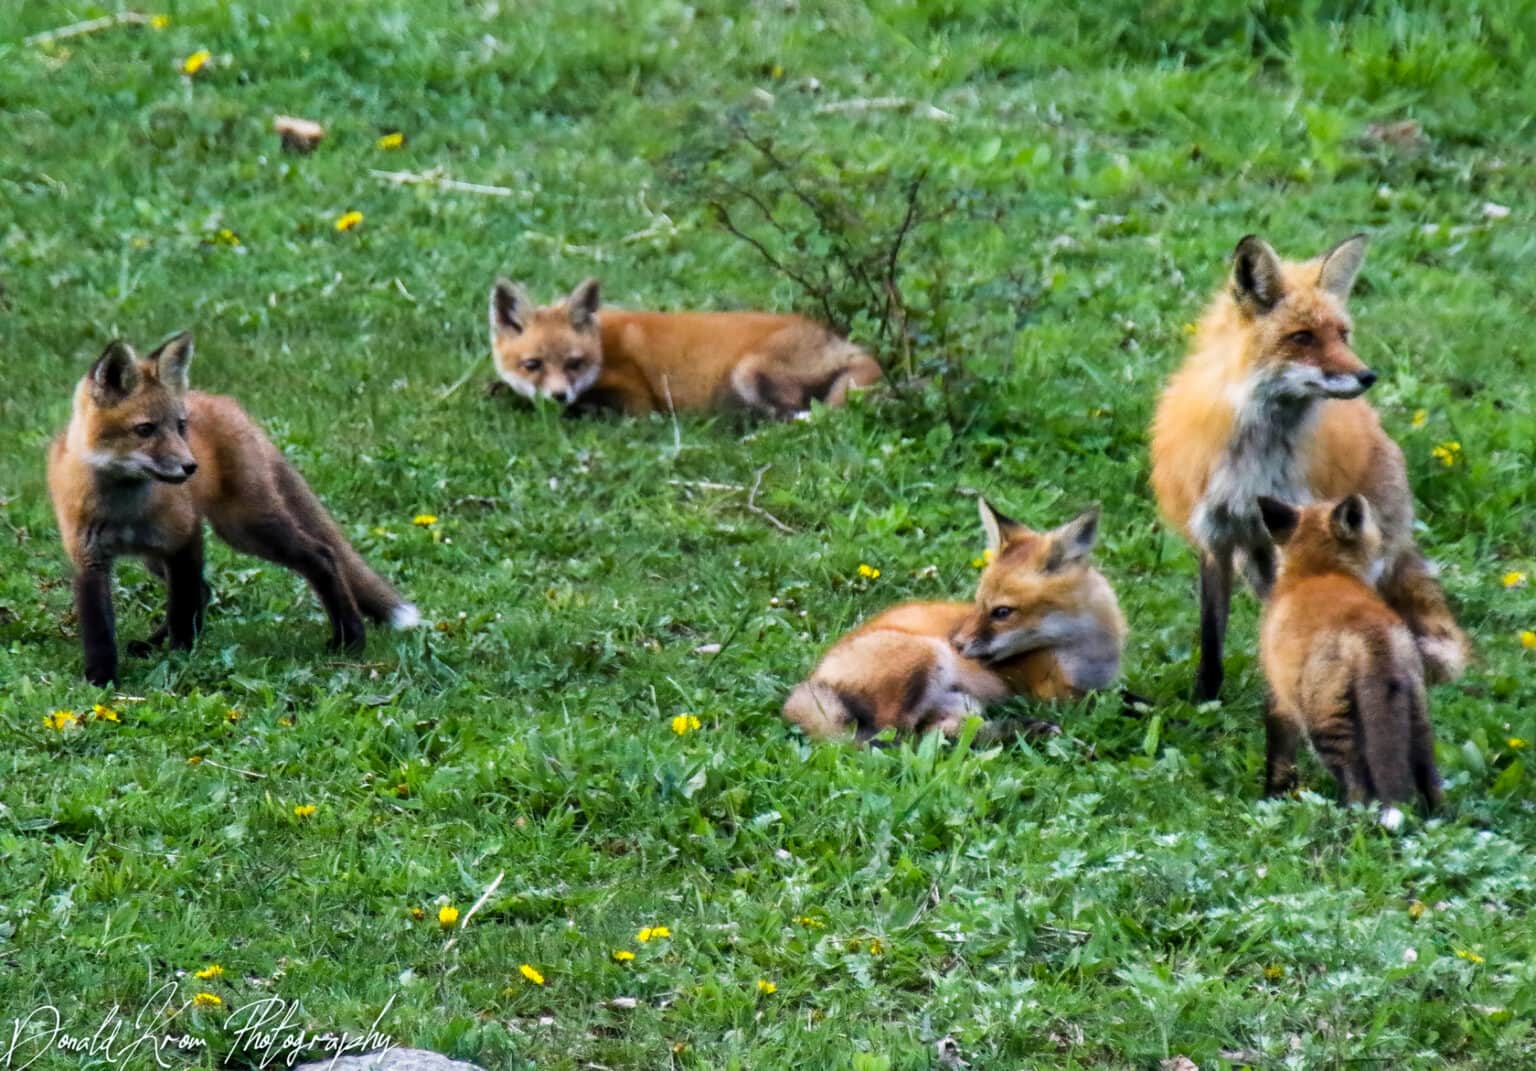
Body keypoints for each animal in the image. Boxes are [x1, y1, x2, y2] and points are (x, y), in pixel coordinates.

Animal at [47, 332, 419, 685]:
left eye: (180, 426)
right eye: (145, 429)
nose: (190, 467)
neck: (123, 507)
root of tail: (228, 404)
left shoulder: (186, 537)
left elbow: (183, 609)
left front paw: (180, 658)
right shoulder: (88, 557)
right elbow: (99, 626)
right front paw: (101, 678)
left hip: (246, 527)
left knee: (323, 556)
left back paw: (350, 639)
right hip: (159, 555)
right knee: (206, 589)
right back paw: (151, 645)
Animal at [488, 278, 882, 418]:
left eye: (574, 364)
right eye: (533, 365)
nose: (559, 396)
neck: (603, 347)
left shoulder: (637, 401)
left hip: (749, 372)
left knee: (803, 414)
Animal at [783, 500, 1127, 742]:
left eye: (1002, 612)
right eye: (979, 603)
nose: (957, 644)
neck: (1088, 651)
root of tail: (815, 678)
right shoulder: (1057, 693)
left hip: (963, 702)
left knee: (941, 734)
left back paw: (1022, 730)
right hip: (927, 658)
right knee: (892, 736)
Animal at [1149, 233, 1466, 701]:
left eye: (1343, 335)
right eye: (1302, 337)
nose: (1368, 376)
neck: (1257, 458)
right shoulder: (1216, 535)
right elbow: (1211, 632)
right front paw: (1204, 697)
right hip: (1258, 561)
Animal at [1256, 494, 1442, 823]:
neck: (1316, 570)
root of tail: (1370, 634)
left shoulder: (1278, 696)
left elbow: (1279, 759)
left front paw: (1273, 797)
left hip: (1327, 725)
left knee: (1358, 787)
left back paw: (1347, 821)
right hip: (1417, 717)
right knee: (1430, 779)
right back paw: (1441, 822)